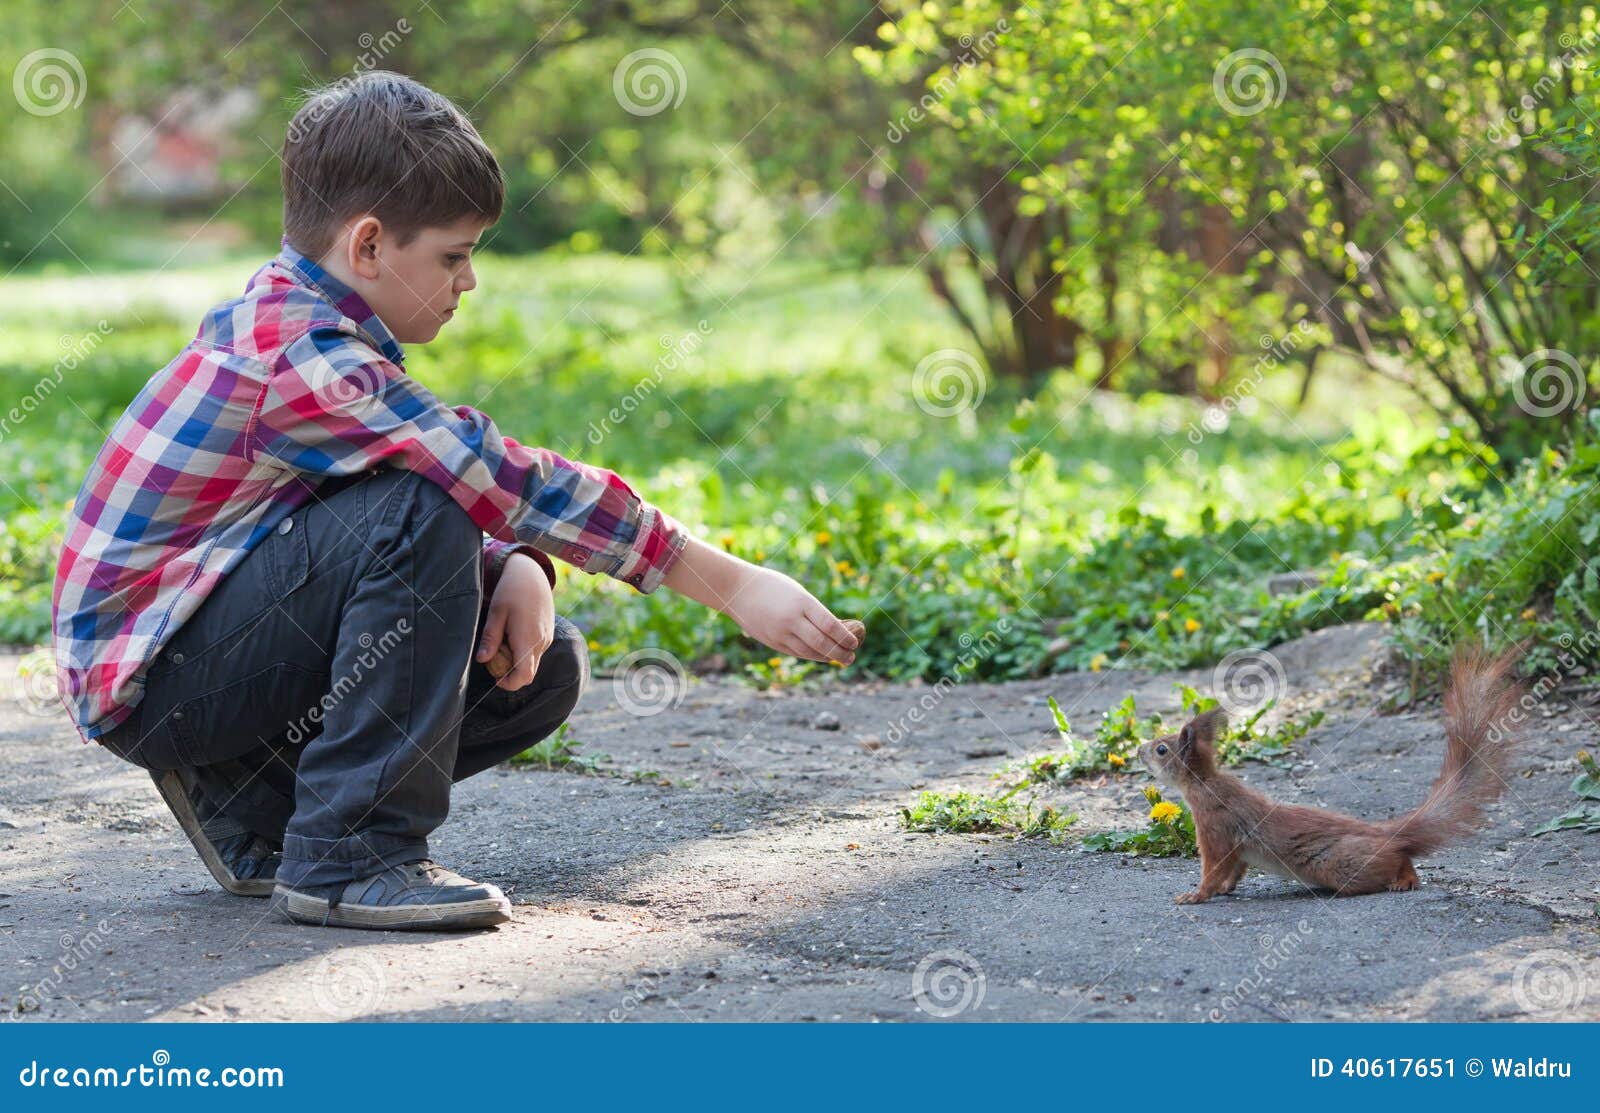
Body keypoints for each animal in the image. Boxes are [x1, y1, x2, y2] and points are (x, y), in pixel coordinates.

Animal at [1137, 645, 1523, 904]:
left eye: (1161, 749)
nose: (1138, 751)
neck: (1204, 784)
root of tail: (1388, 834)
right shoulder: (1237, 848)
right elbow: (1234, 871)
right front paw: (1225, 890)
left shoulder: (1215, 827)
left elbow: (1214, 866)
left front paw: (1196, 895)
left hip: (1339, 864)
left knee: (1397, 859)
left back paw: (1404, 879)